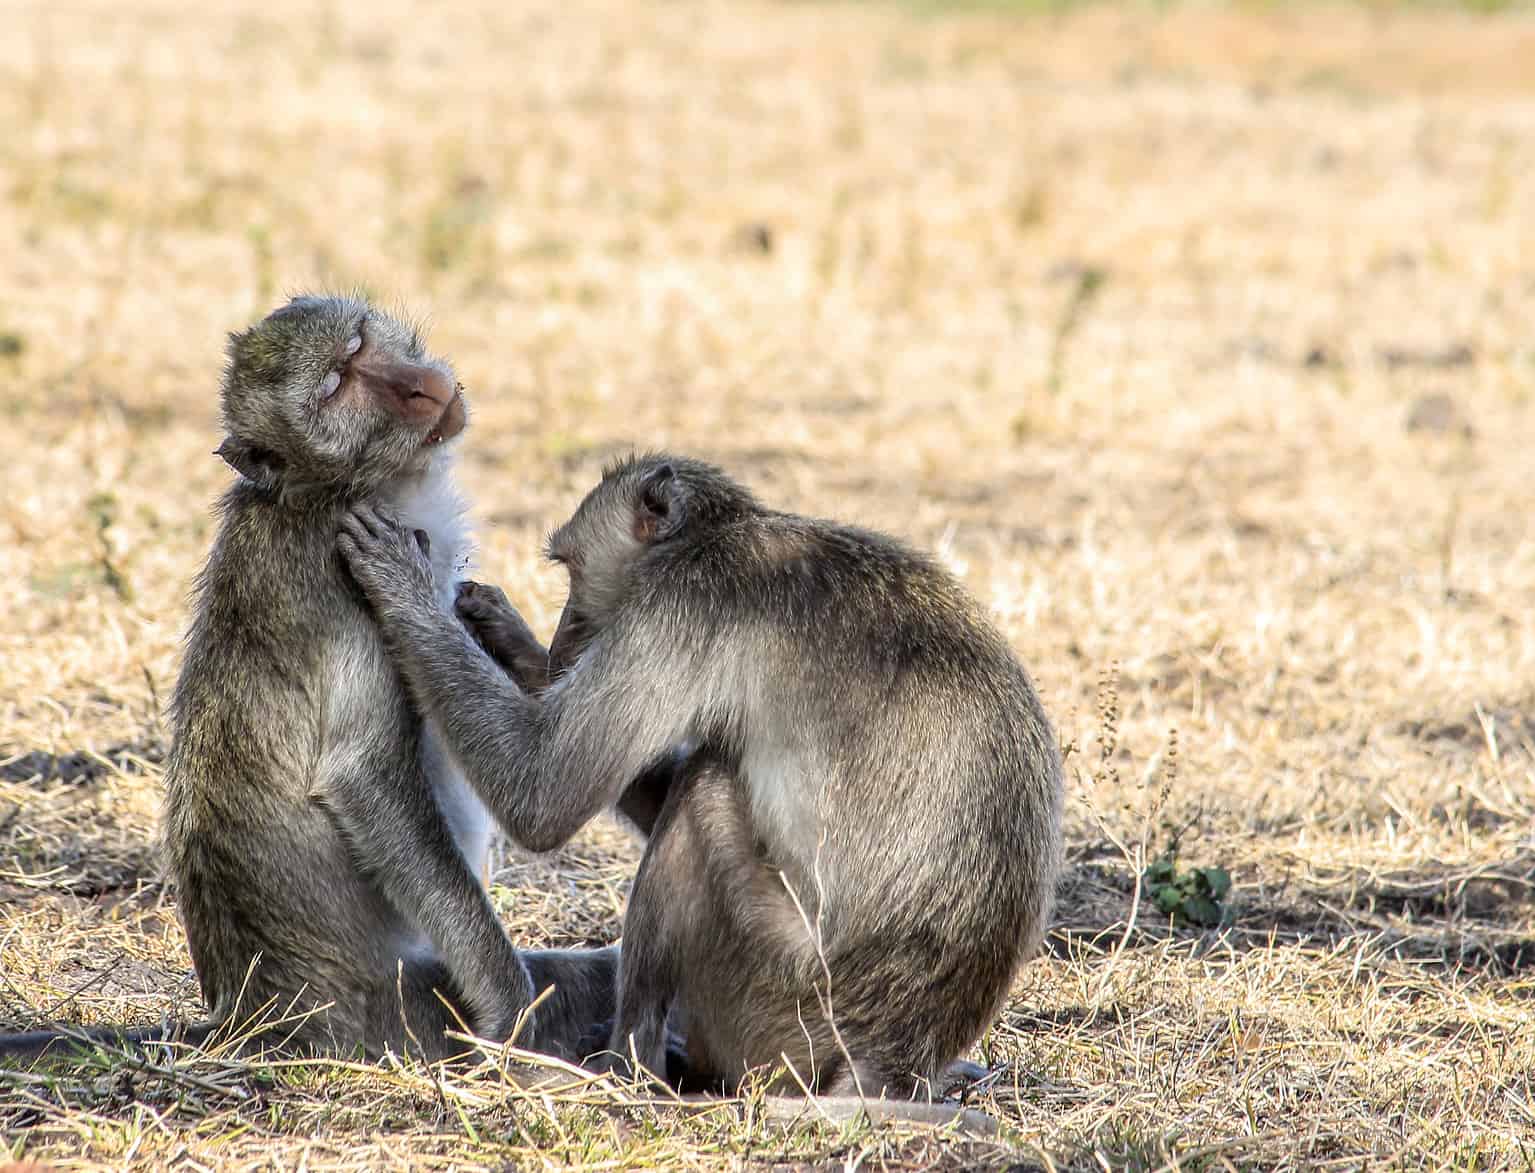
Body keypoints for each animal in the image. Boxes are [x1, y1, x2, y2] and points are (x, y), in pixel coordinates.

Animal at [0, 295, 618, 1066]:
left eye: (359, 346)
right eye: (333, 388)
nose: (420, 388)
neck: (346, 489)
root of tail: (249, 1018)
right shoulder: (345, 587)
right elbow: (365, 776)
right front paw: (509, 1004)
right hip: (391, 1016)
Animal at [335, 453, 1064, 1103]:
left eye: (571, 570)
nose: (567, 630)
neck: (722, 531)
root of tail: (894, 1052)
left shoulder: (679, 610)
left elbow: (543, 796)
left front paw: (404, 585)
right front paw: (513, 640)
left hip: (781, 1004)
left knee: (701, 798)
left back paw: (627, 1070)